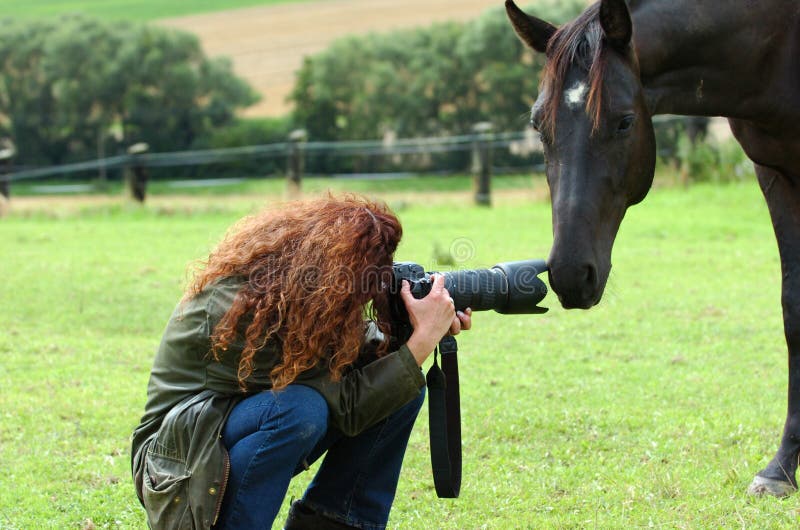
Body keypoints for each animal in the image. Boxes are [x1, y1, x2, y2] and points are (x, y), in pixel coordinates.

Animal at [505, 0, 800, 497]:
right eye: (537, 126)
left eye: (624, 121)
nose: (570, 273)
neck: (776, 40)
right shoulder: (775, 174)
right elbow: (793, 311)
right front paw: (781, 468)